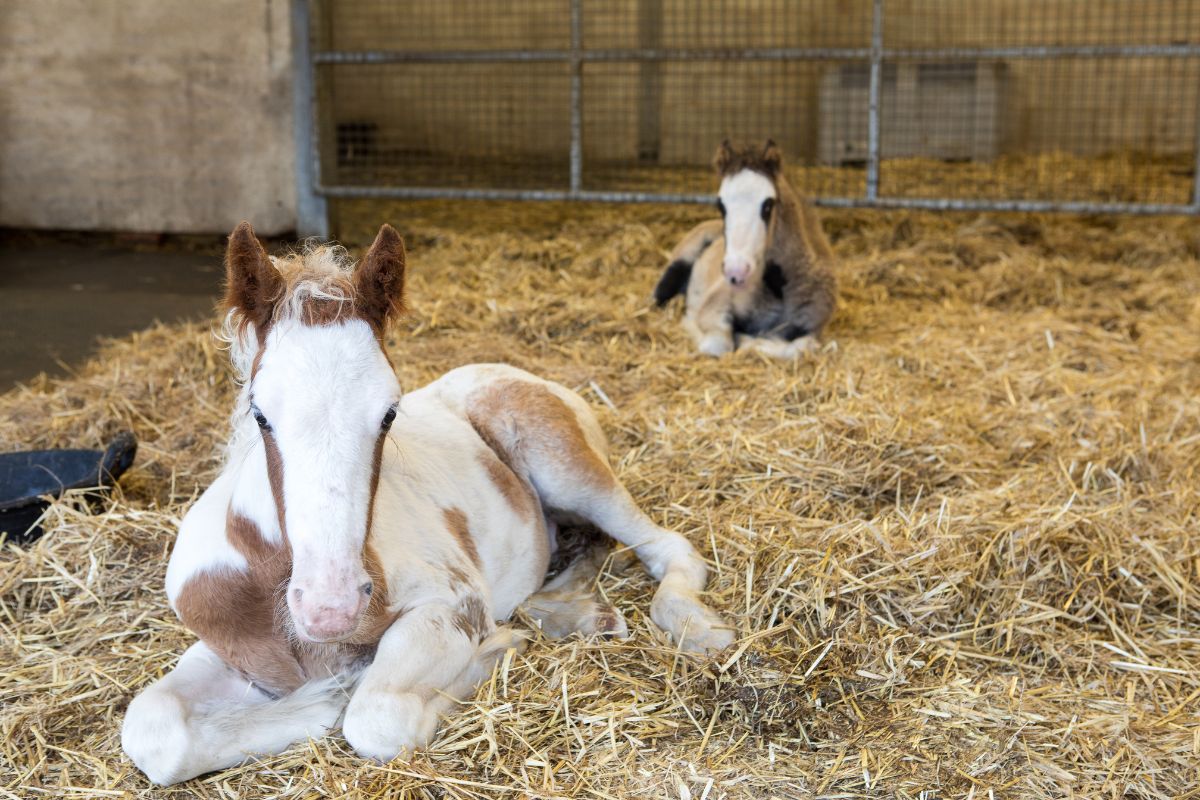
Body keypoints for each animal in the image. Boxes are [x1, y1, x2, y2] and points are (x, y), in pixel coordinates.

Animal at [121, 222, 735, 785]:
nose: (329, 608)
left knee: (665, 546)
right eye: (259, 412)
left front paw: (490, 650)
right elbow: (151, 727)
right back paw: (579, 615)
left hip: (568, 471)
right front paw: (322, 696)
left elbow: (374, 718)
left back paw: (699, 630)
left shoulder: (453, 602)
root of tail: (528, 376)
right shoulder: (233, 653)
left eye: (389, 413)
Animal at [653, 140, 837, 358]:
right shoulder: (713, 307)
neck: (779, 291)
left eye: (768, 205)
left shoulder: (813, 328)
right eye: (721, 205)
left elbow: (800, 347)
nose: (736, 271)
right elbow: (718, 344)